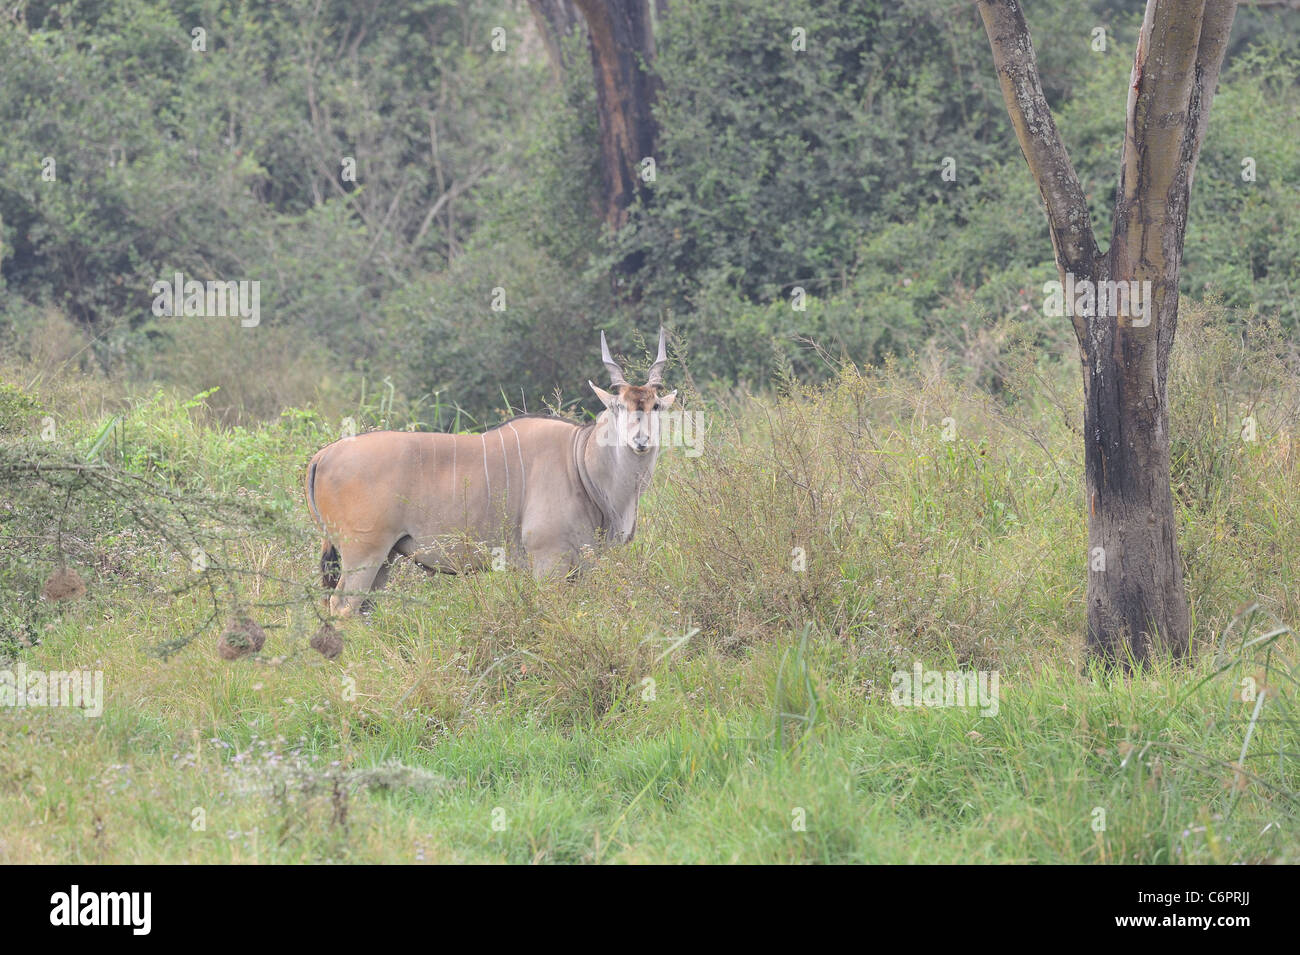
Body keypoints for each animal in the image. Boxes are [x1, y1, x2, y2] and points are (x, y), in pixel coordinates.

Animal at [305, 328, 677, 616]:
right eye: (619, 407)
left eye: (655, 405)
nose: (641, 441)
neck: (581, 461)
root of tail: (324, 454)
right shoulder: (548, 561)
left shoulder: (583, 565)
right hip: (363, 554)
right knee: (341, 608)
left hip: (385, 558)